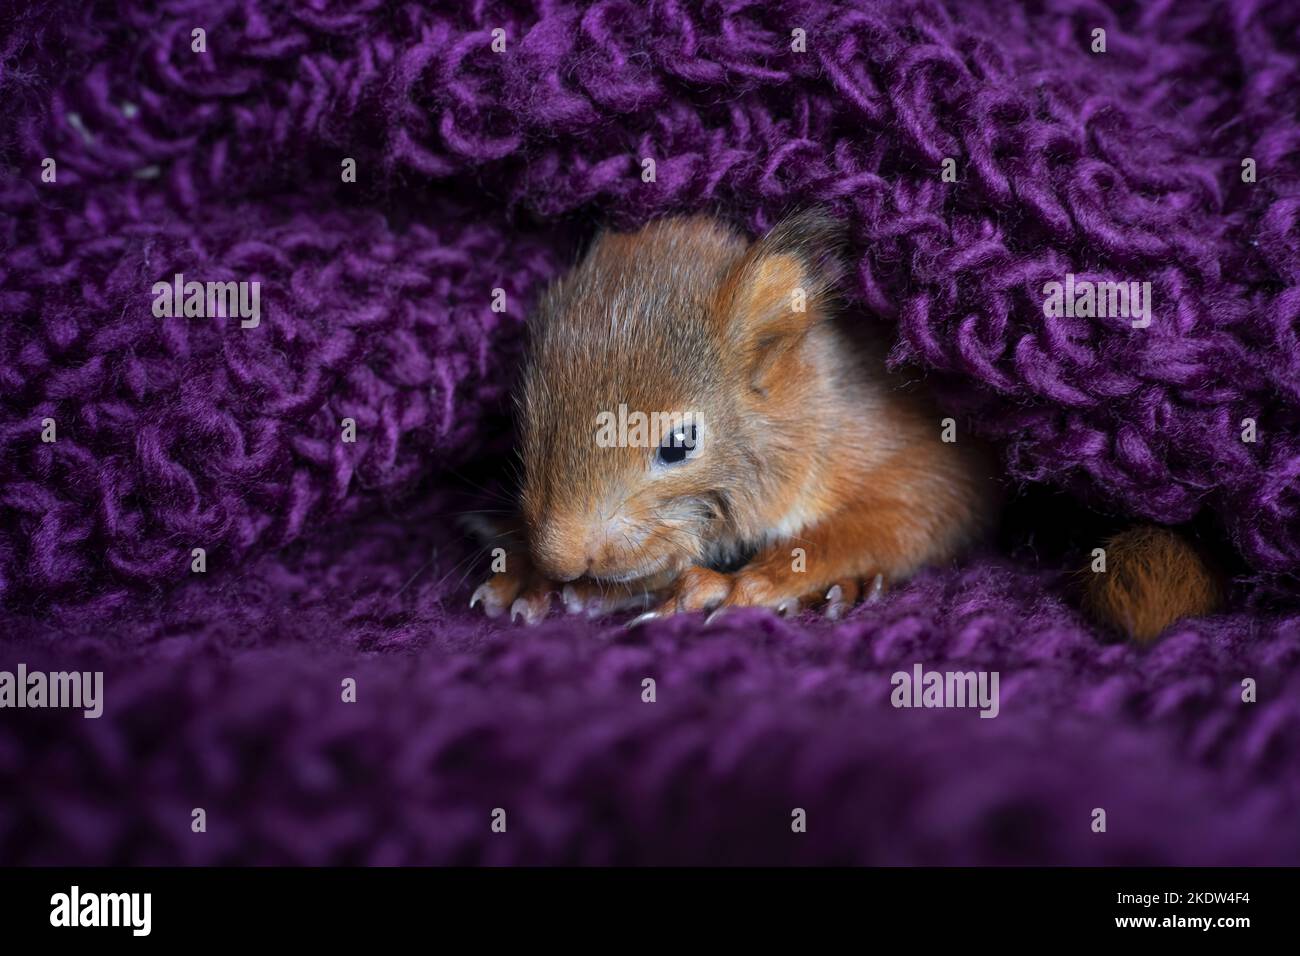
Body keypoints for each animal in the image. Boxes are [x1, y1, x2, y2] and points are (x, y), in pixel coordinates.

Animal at [470, 211, 1224, 640]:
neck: (812, 408)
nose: (562, 554)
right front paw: (533, 579)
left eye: (678, 444)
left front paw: (748, 584)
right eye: (525, 410)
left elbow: (897, 520)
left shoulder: (904, 455)